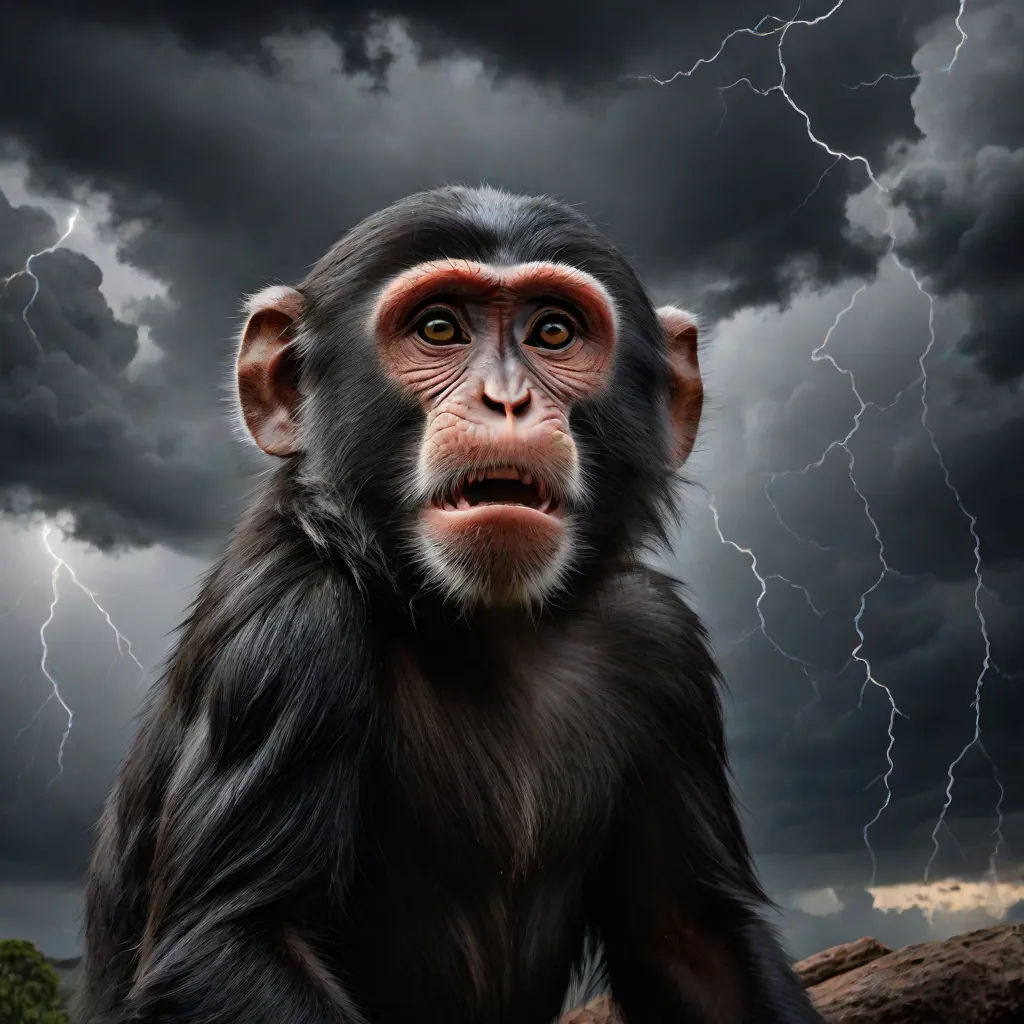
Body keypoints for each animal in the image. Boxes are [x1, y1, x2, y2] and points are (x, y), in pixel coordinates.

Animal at [75, 186, 824, 1024]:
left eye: (554, 331)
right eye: (439, 328)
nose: (507, 399)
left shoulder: (662, 647)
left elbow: (691, 935)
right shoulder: (291, 630)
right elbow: (233, 941)